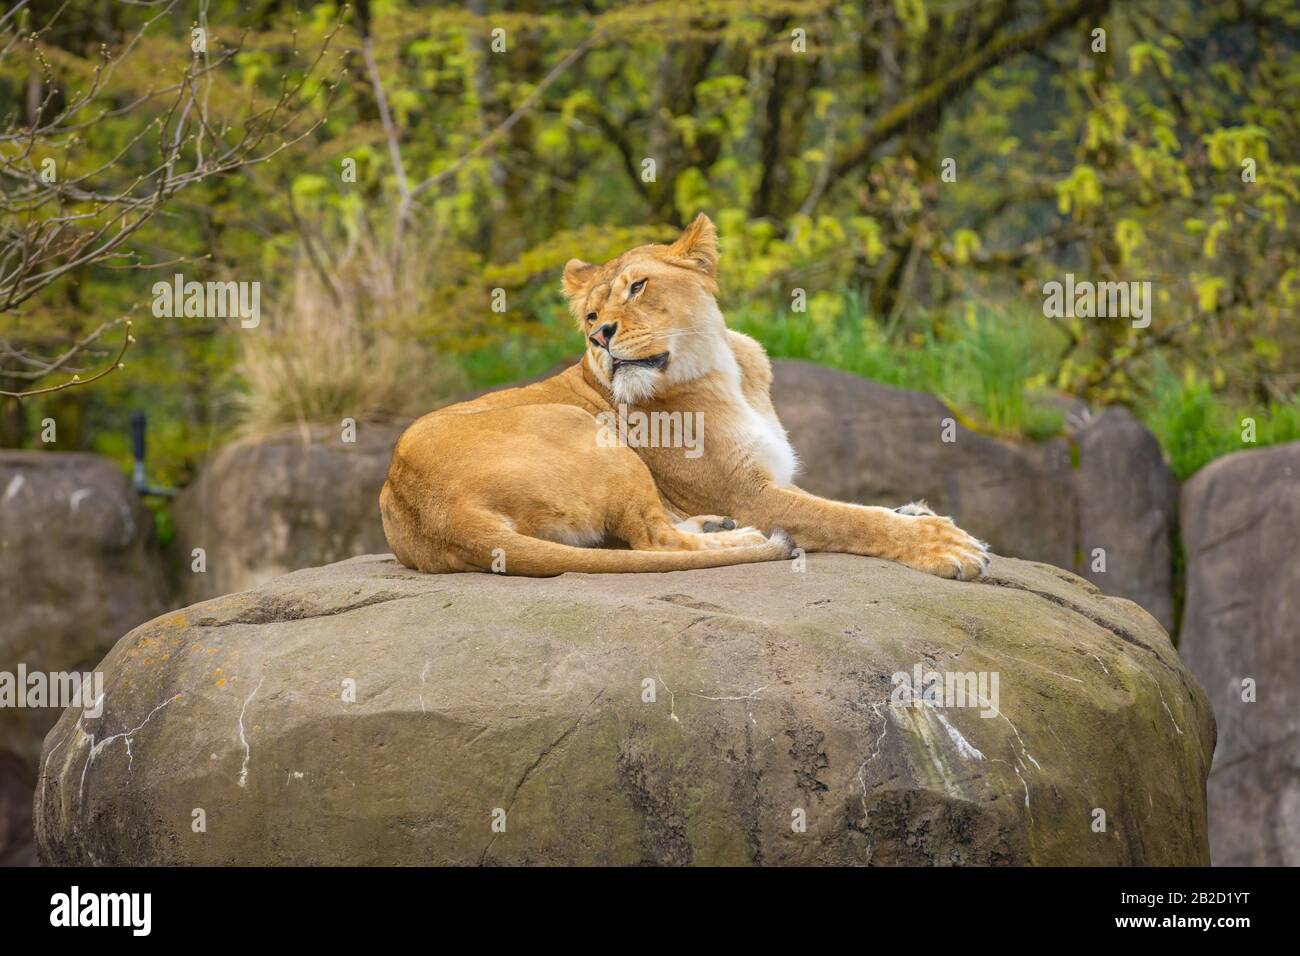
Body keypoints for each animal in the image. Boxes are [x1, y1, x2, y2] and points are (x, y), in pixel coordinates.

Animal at [380, 213, 989, 579]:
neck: (727, 372)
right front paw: (944, 545)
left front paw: (915, 509)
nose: (600, 337)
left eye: (638, 286)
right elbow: (846, 518)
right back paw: (747, 536)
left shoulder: (771, 474)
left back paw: (715, 527)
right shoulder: (750, 493)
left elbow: (851, 504)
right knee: (653, 542)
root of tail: (434, 511)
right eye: (591, 316)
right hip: (586, 433)